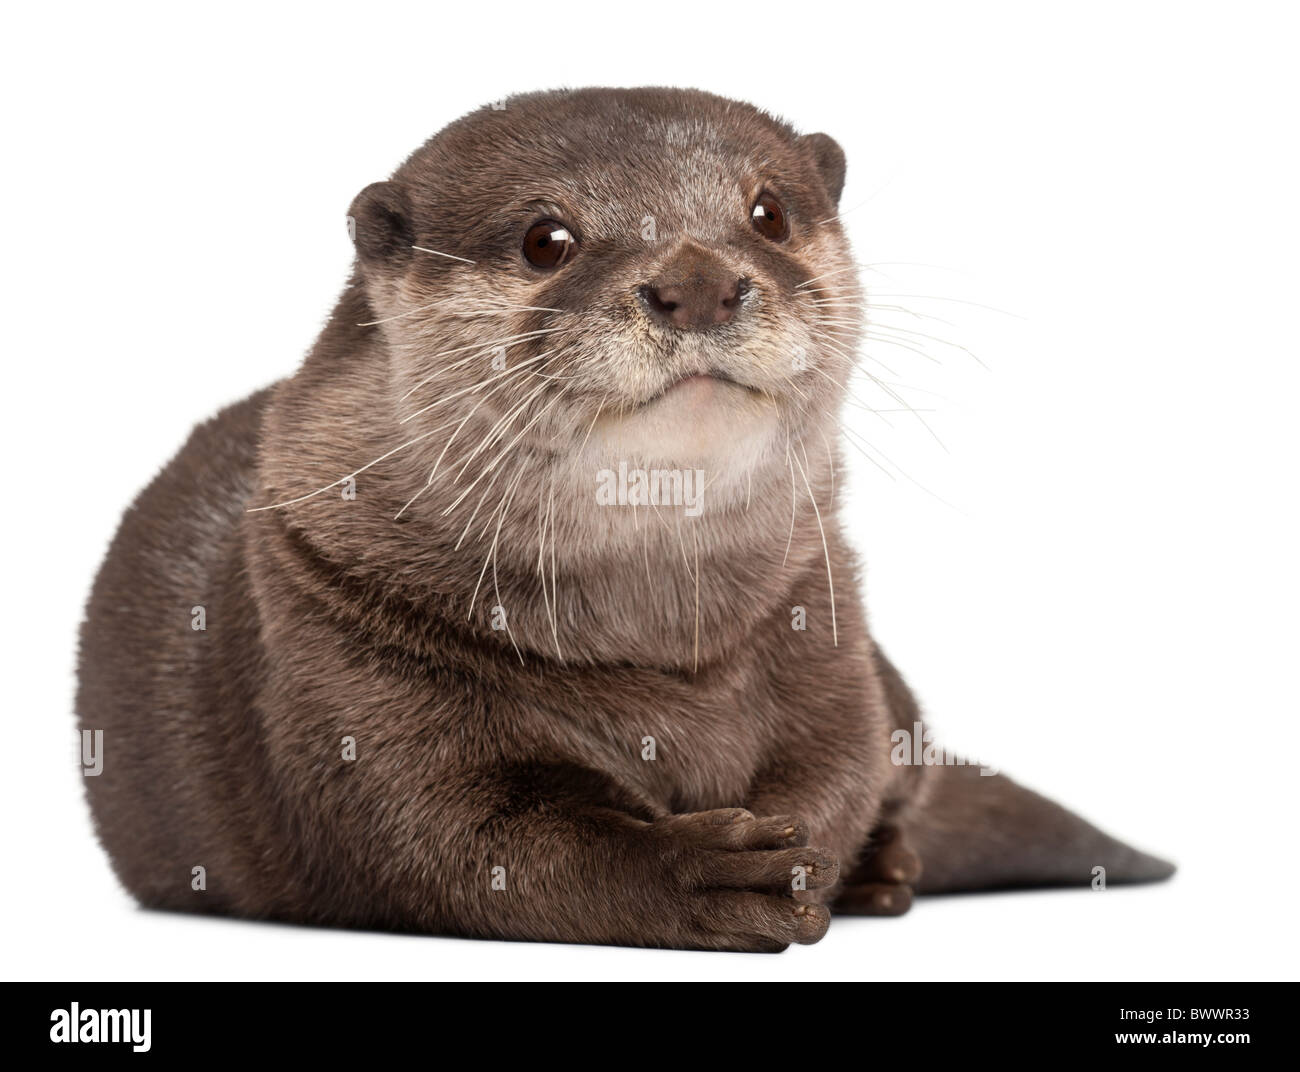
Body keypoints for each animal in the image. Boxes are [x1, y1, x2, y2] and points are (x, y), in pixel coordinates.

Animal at [76, 87, 1173, 952]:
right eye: (545, 239)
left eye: (768, 213)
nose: (698, 280)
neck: (657, 654)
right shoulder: (332, 647)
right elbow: (465, 839)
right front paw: (705, 873)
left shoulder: (825, 622)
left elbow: (841, 766)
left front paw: (814, 863)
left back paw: (884, 870)